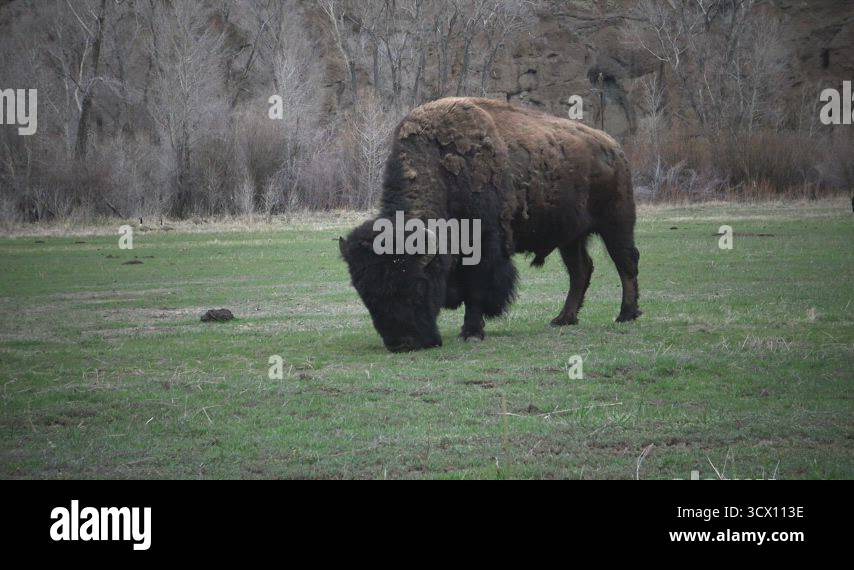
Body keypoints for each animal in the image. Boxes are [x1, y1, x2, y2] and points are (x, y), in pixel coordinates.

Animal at [340, 97, 640, 352]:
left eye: (416, 285)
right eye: (366, 295)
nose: (404, 343)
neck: (442, 170)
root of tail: (614, 148)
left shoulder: (484, 247)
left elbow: (476, 289)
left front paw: (472, 332)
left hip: (617, 224)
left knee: (625, 262)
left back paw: (626, 314)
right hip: (570, 238)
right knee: (581, 270)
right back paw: (563, 318)